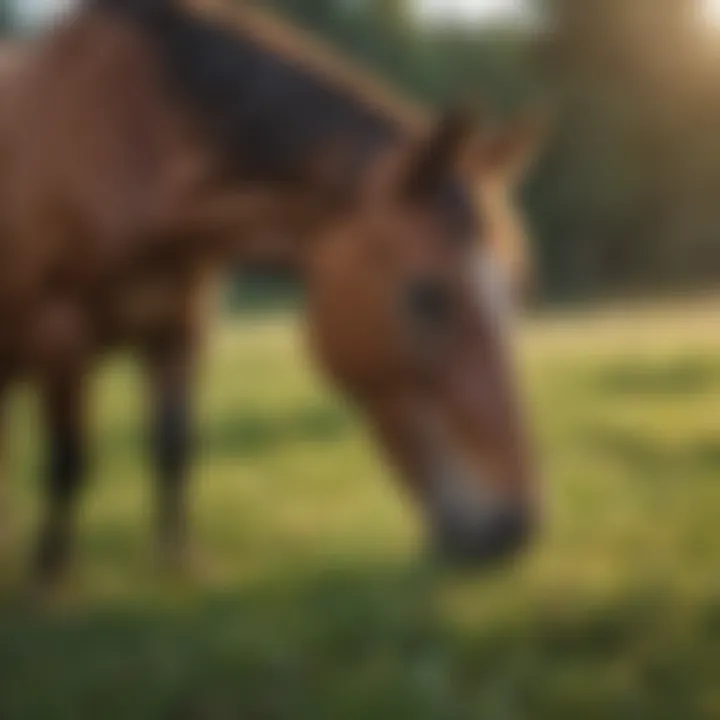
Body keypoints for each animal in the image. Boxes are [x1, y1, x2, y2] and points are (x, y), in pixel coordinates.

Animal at [0, 0, 544, 588]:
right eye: (426, 296)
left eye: (516, 287)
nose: (514, 527)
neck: (131, 138)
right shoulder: (62, 334)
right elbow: (68, 461)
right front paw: (51, 576)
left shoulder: (181, 329)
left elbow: (174, 446)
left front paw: (178, 562)